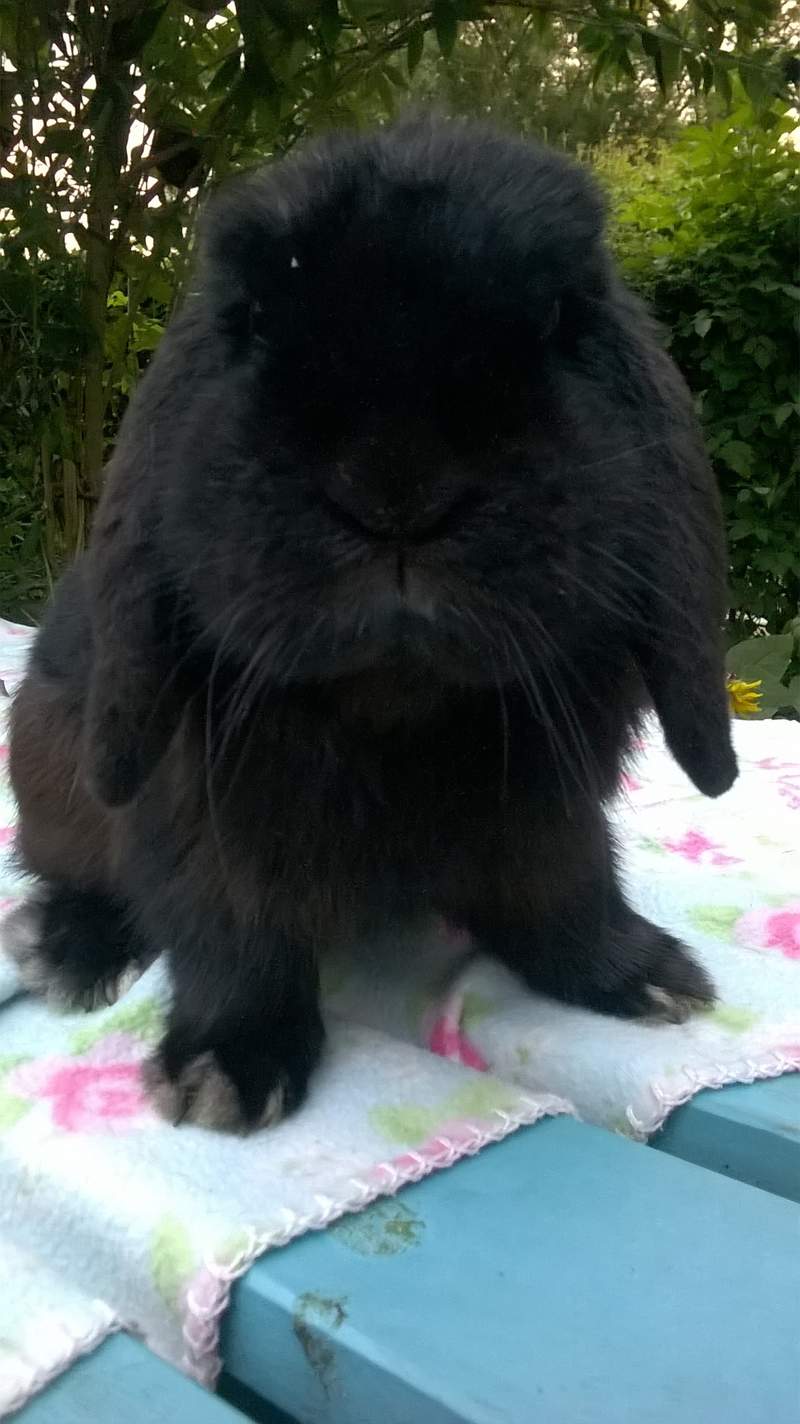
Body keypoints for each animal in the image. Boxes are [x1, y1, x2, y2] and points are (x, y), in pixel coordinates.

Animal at [7, 114, 738, 1132]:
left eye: (558, 319)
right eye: (255, 318)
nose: (397, 489)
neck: (397, 700)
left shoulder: (550, 808)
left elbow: (567, 887)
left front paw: (642, 975)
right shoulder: (208, 818)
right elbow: (232, 933)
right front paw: (227, 1069)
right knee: (79, 873)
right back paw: (69, 946)